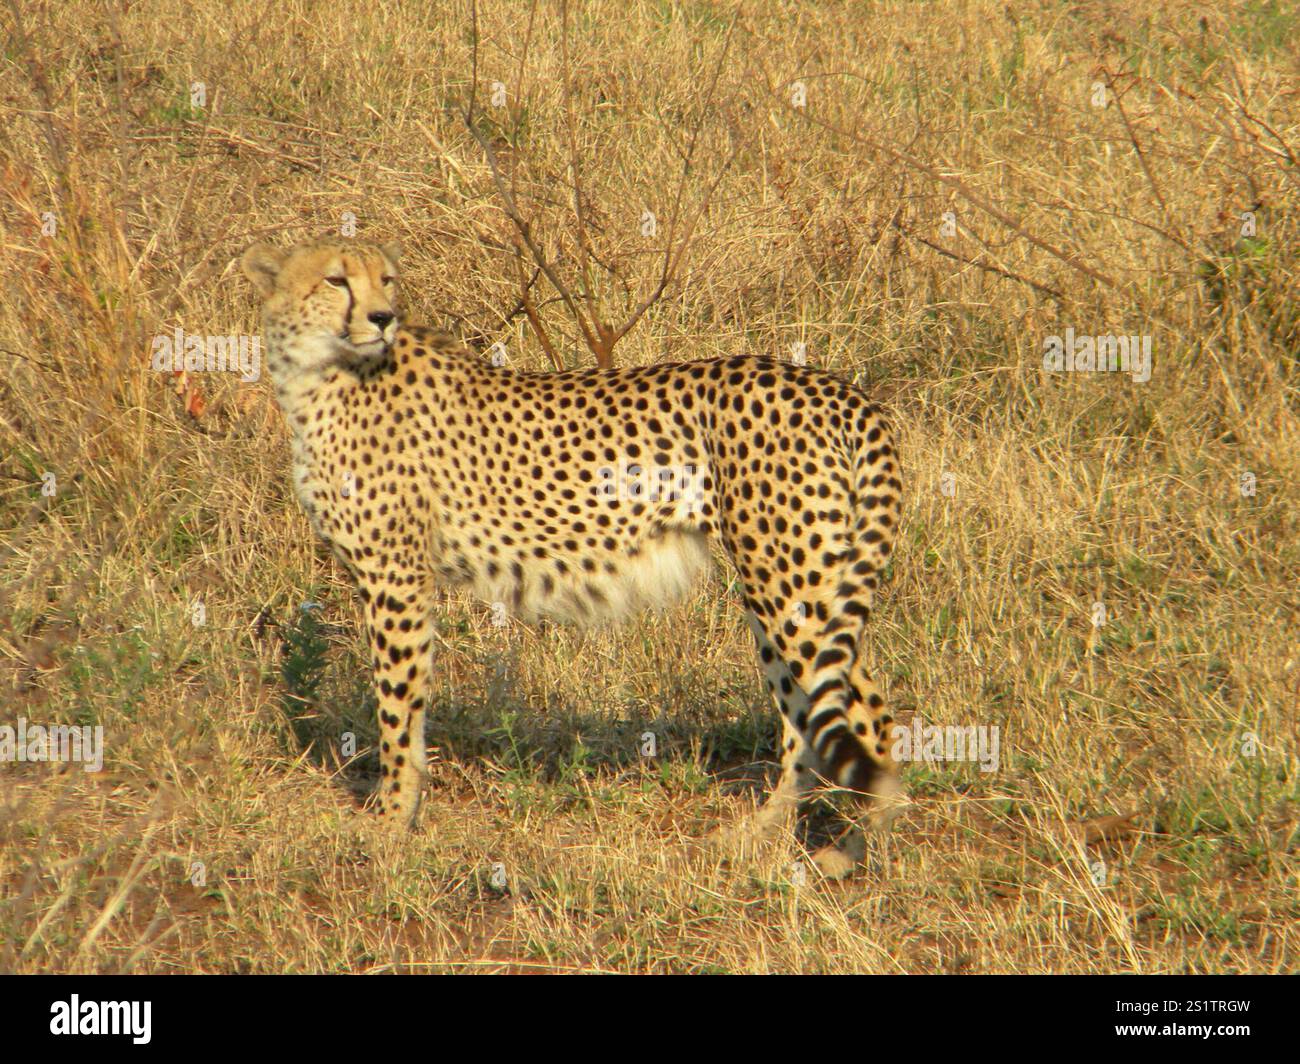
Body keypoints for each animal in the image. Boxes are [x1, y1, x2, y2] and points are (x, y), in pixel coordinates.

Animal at [241, 238, 905, 869]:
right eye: (336, 278)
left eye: (386, 278)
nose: (384, 316)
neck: (322, 374)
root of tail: (839, 388)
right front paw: (396, 817)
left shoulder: (396, 579)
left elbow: (398, 710)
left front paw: (390, 822)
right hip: (790, 584)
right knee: (824, 717)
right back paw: (767, 839)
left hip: (789, 583)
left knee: (865, 716)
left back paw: (853, 856)